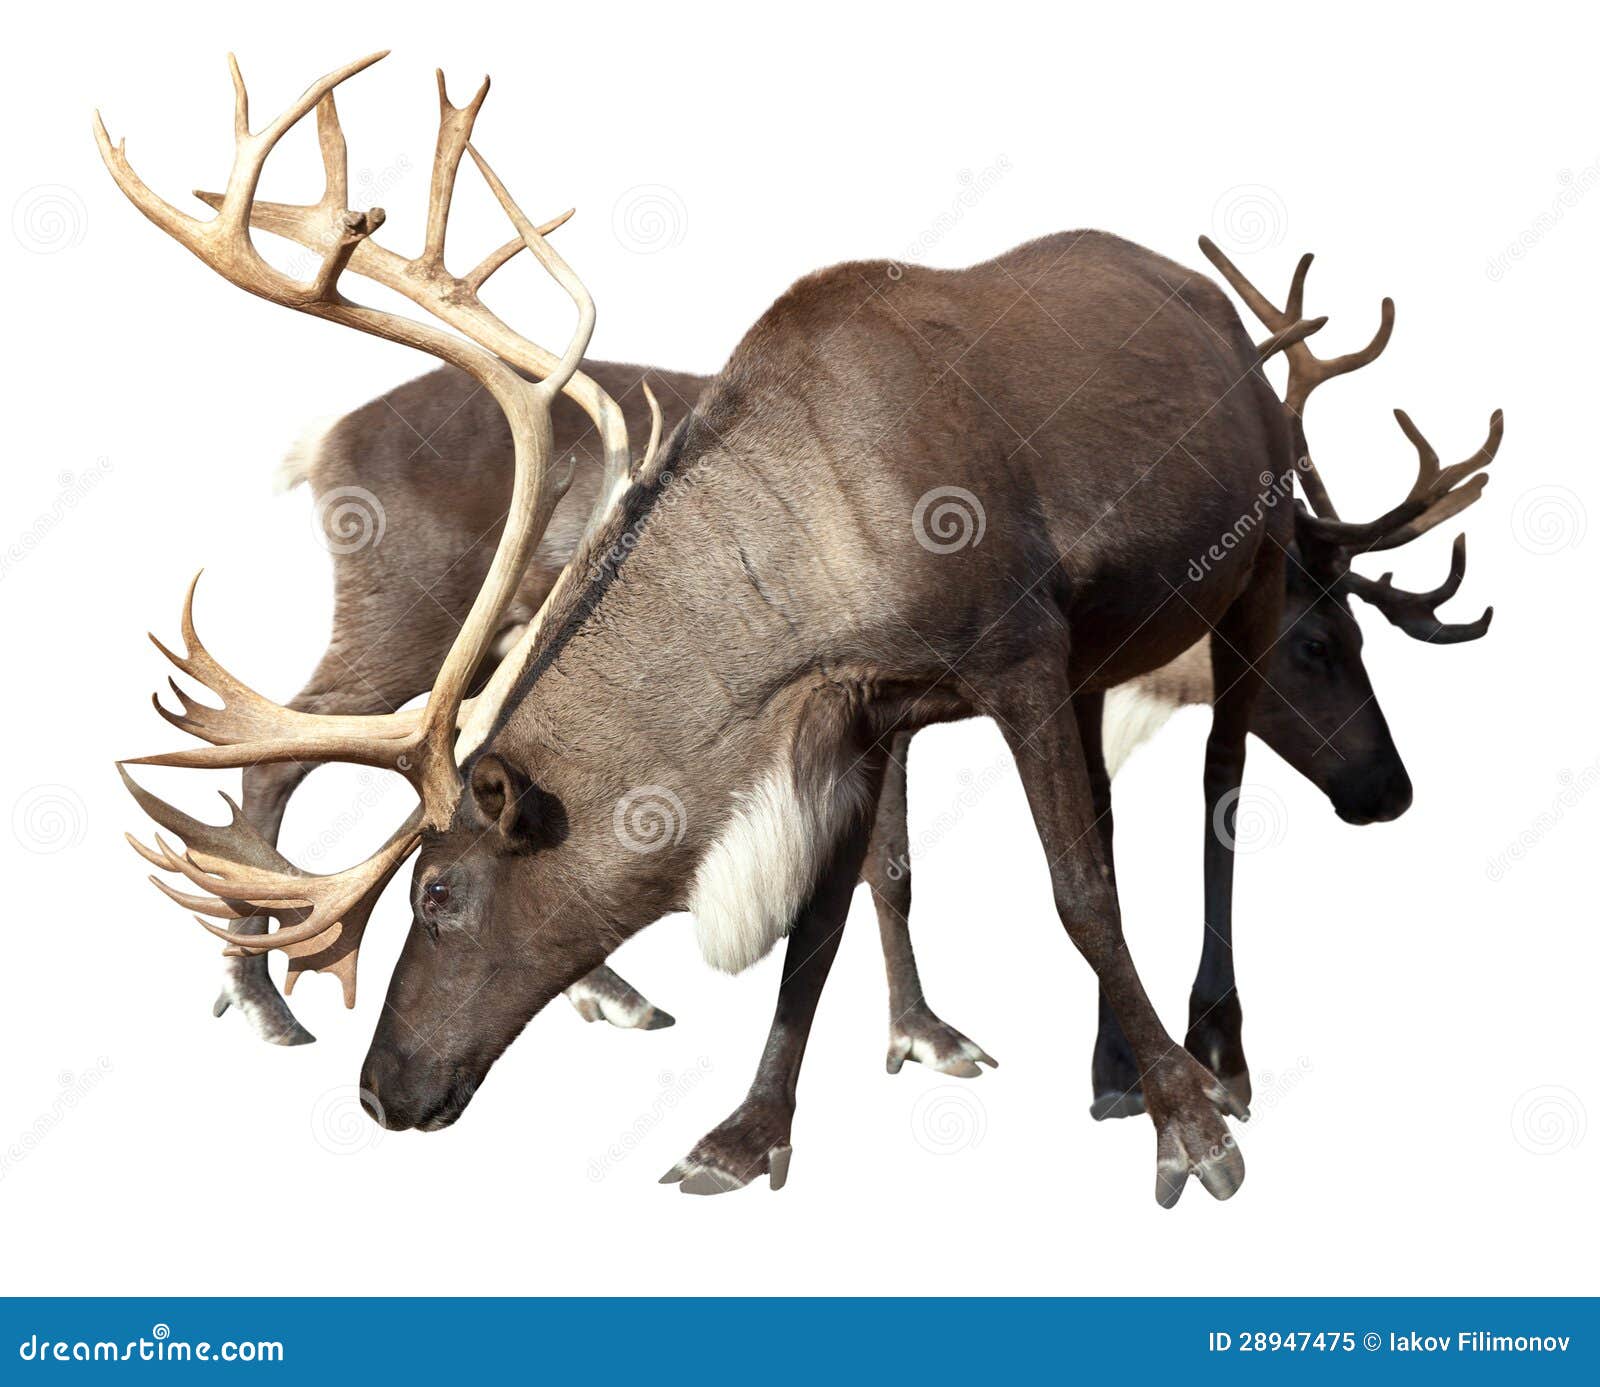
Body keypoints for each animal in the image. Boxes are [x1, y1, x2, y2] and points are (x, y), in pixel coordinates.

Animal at [102, 53, 1500, 1206]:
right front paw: (750, 1133)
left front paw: (1185, 1126)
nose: (383, 1091)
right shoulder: (866, 707)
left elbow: (1075, 887)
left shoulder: (1009, 657)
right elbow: (833, 916)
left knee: (1213, 801)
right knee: (284, 749)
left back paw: (1213, 1051)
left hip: (1245, 563)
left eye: (437, 892)